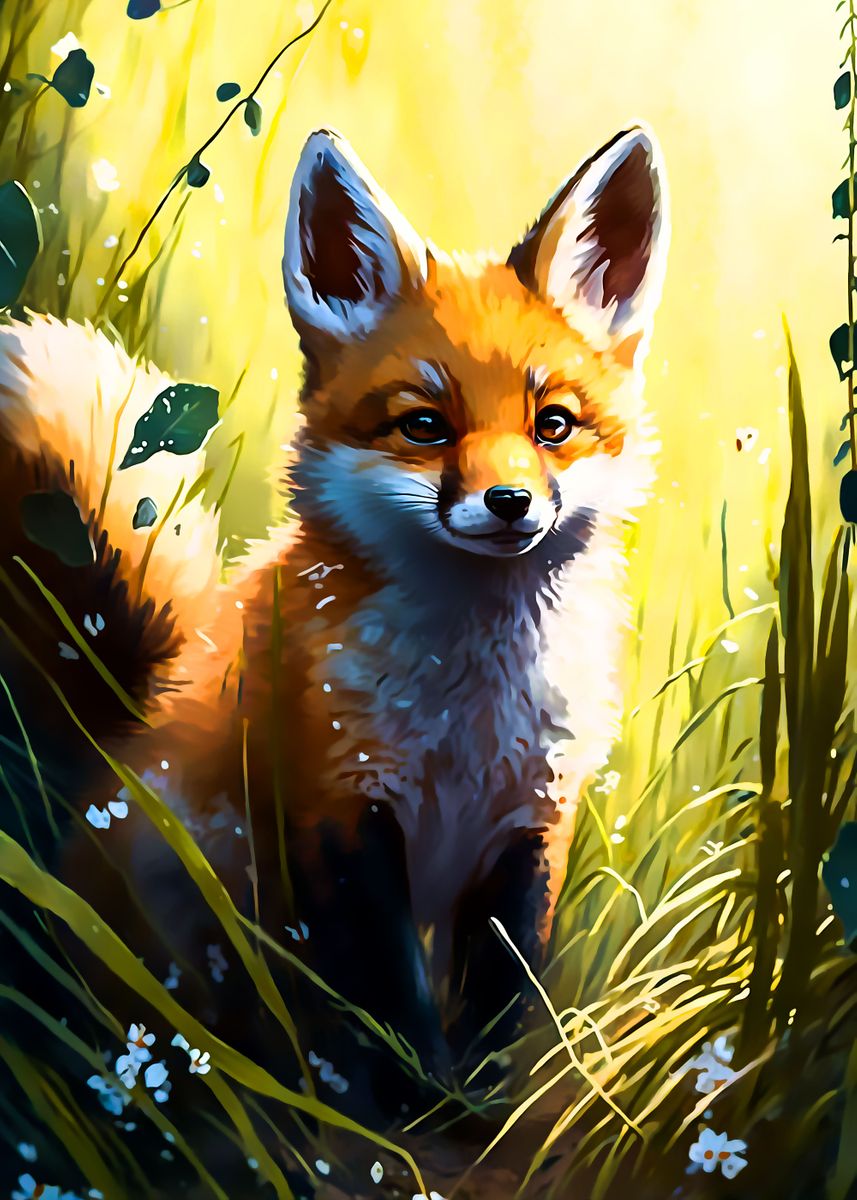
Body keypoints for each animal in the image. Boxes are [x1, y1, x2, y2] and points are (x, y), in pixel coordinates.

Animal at [0, 123, 668, 1097]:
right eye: (423, 425)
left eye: (553, 424)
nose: (510, 503)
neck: (467, 715)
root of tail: (107, 749)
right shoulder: (340, 814)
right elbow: (389, 1004)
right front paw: (412, 1104)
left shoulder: (532, 824)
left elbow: (499, 1007)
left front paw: (483, 1105)